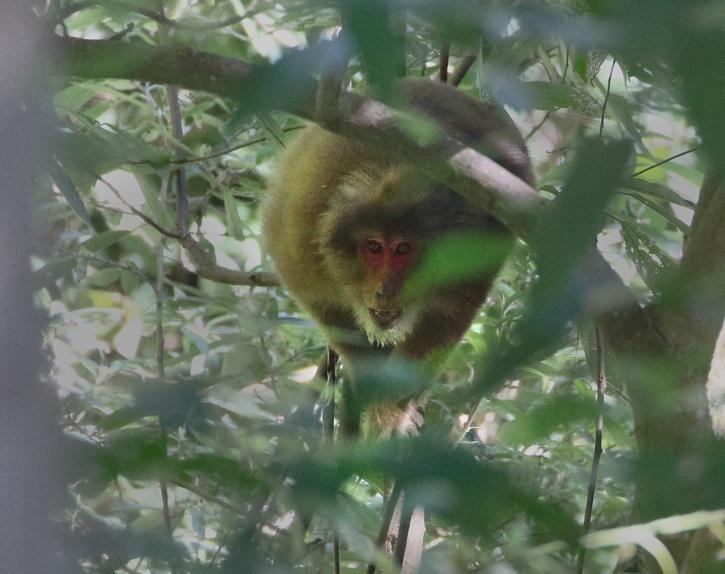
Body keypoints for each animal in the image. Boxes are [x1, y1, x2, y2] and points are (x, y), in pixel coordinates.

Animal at [263, 79, 533, 436]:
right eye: (374, 247)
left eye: (403, 249)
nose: (386, 290)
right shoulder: (302, 242)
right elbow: (320, 300)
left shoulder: (472, 252)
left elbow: (446, 317)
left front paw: (390, 410)